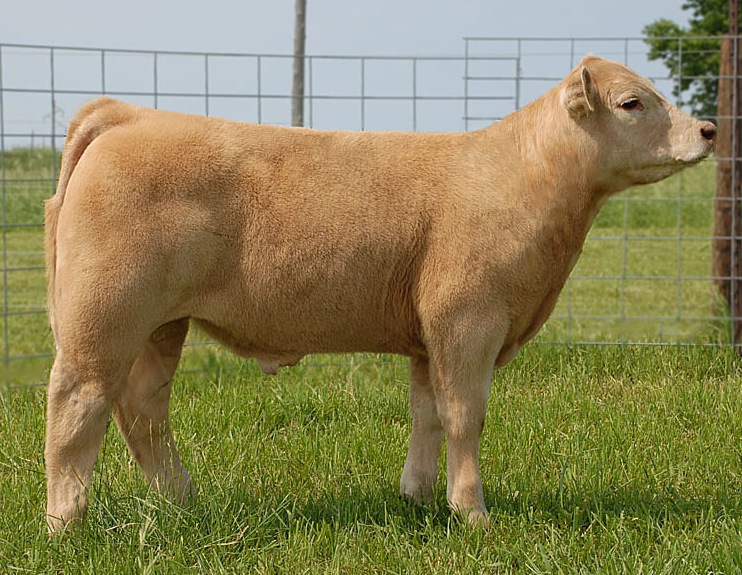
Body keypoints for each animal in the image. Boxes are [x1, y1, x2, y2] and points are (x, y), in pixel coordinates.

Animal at [43, 55, 716, 532]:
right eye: (633, 101)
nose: (710, 129)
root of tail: (130, 114)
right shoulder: (469, 320)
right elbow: (464, 415)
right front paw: (473, 513)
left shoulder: (428, 338)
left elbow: (428, 413)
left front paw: (418, 497)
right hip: (103, 318)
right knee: (76, 407)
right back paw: (66, 524)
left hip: (161, 323)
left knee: (142, 409)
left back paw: (183, 502)